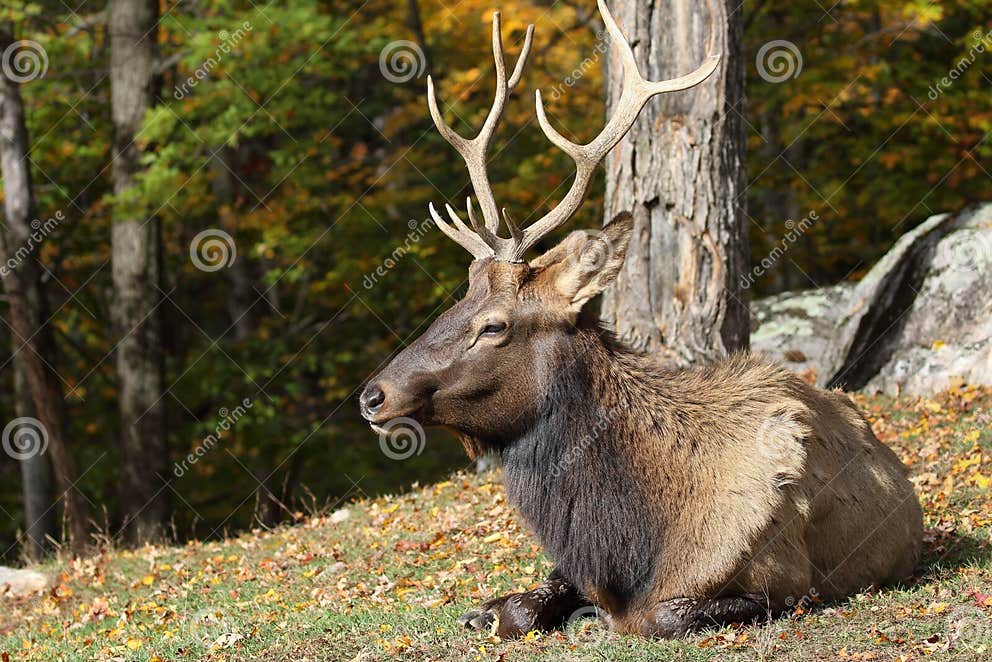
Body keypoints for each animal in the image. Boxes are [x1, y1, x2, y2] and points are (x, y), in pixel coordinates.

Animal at [360, 0, 923, 639]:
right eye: (458, 301)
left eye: (494, 325)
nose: (373, 395)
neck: (632, 542)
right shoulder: (576, 562)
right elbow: (517, 607)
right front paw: (494, 607)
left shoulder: (784, 576)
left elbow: (664, 615)